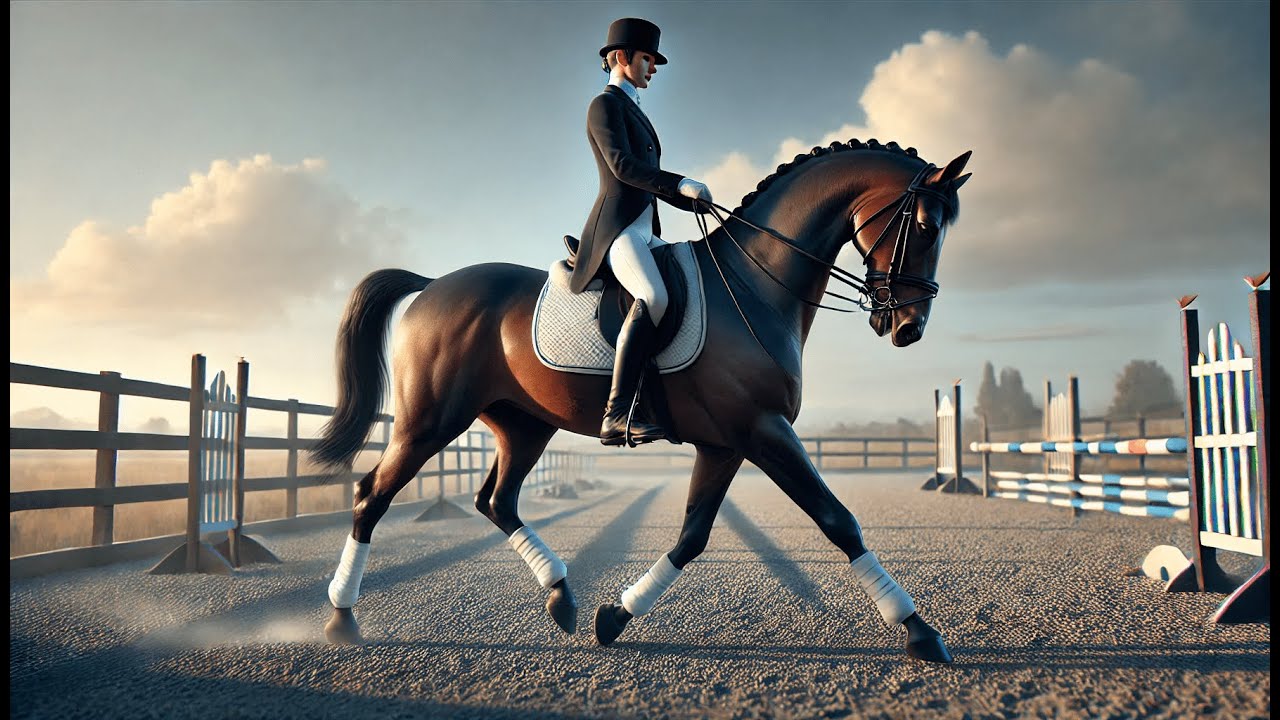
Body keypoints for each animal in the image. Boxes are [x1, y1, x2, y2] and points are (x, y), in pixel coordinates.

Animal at [311, 139, 972, 663]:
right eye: (925, 226)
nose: (907, 326)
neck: (754, 284)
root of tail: (432, 286)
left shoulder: (726, 442)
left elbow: (693, 536)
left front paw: (614, 617)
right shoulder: (763, 430)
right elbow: (837, 520)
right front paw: (919, 631)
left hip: (523, 424)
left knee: (496, 500)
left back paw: (562, 598)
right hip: (429, 422)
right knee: (372, 496)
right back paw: (342, 619)